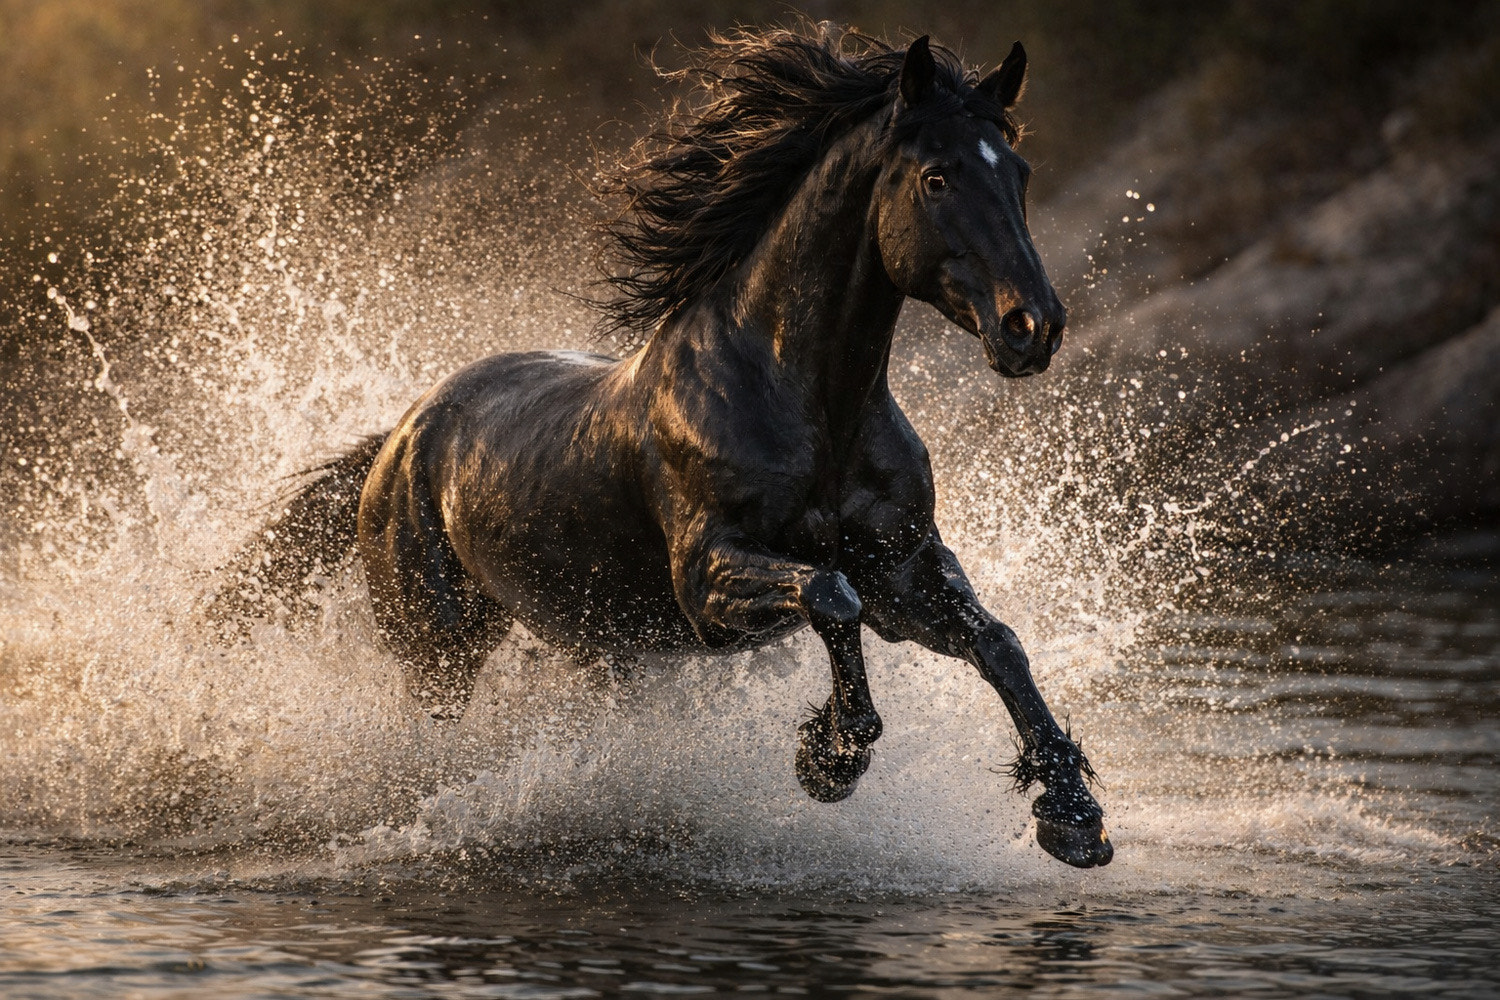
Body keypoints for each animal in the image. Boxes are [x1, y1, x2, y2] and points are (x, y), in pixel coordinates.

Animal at [218, 26, 1112, 868]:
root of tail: (401, 436)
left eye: (1019, 173)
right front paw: (829, 757)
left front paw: (1073, 818)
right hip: (436, 648)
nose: (1032, 328)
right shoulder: (707, 586)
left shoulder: (902, 568)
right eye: (935, 177)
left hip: (599, 652)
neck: (805, 406)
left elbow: (996, 642)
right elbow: (830, 597)